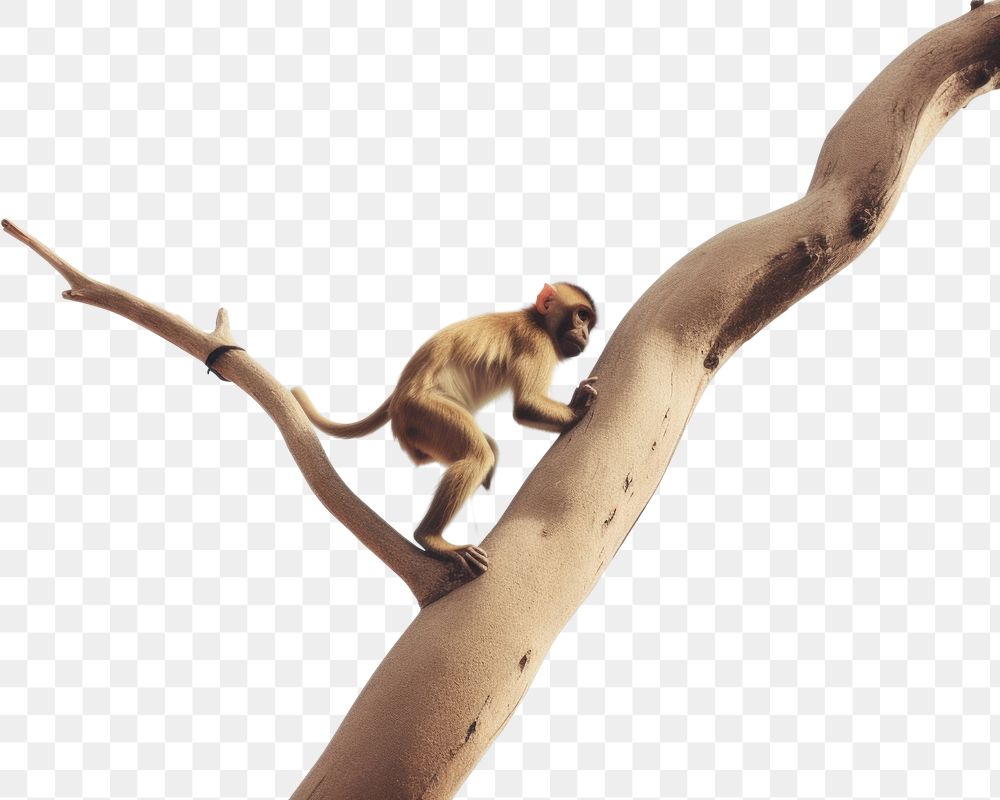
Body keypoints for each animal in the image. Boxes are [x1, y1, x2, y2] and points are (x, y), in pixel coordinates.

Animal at [292, 282, 598, 576]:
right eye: (581, 316)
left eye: (588, 323)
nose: (585, 334)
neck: (536, 320)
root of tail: (400, 395)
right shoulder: (536, 343)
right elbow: (526, 405)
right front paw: (577, 407)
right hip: (423, 411)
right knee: (478, 455)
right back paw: (431, 538)